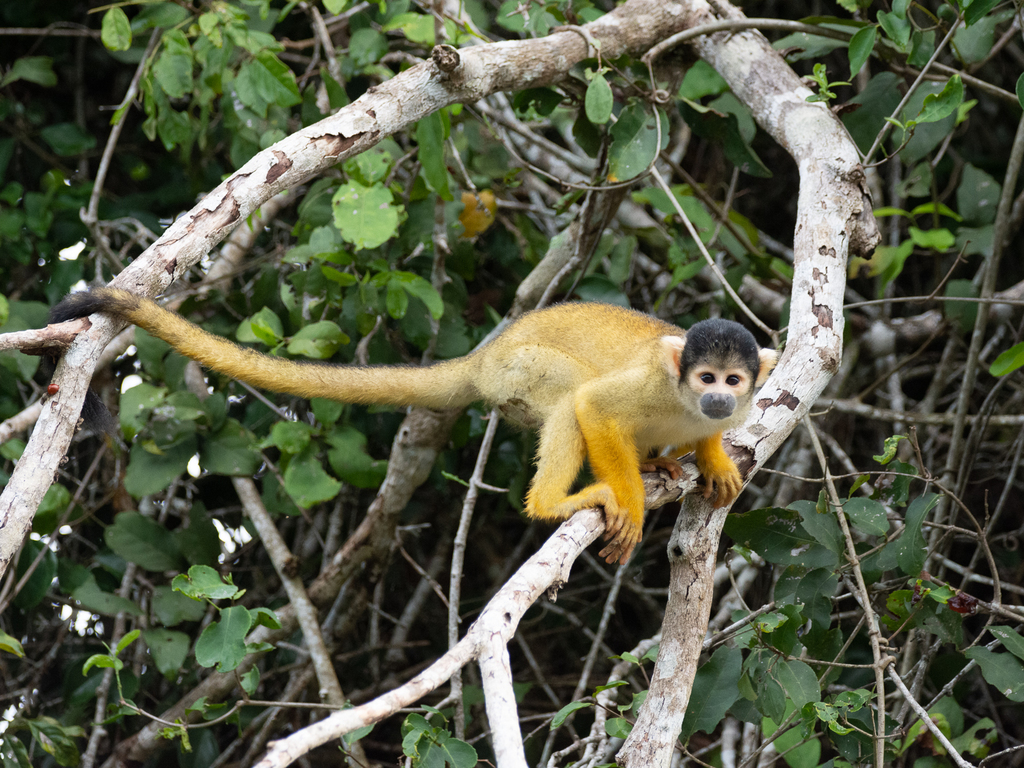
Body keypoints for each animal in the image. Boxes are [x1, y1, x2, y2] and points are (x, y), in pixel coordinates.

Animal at [50, 288, 777, 563]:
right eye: (704, 377)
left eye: (732, 382)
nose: (717, 400)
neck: (681, 399)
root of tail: (484, 356)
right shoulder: (653, 379)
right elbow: (595, 406)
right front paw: (626, 503)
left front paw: (714, 457)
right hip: (518, 371)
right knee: (571, 394)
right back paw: (558, 502)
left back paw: (657, 462)